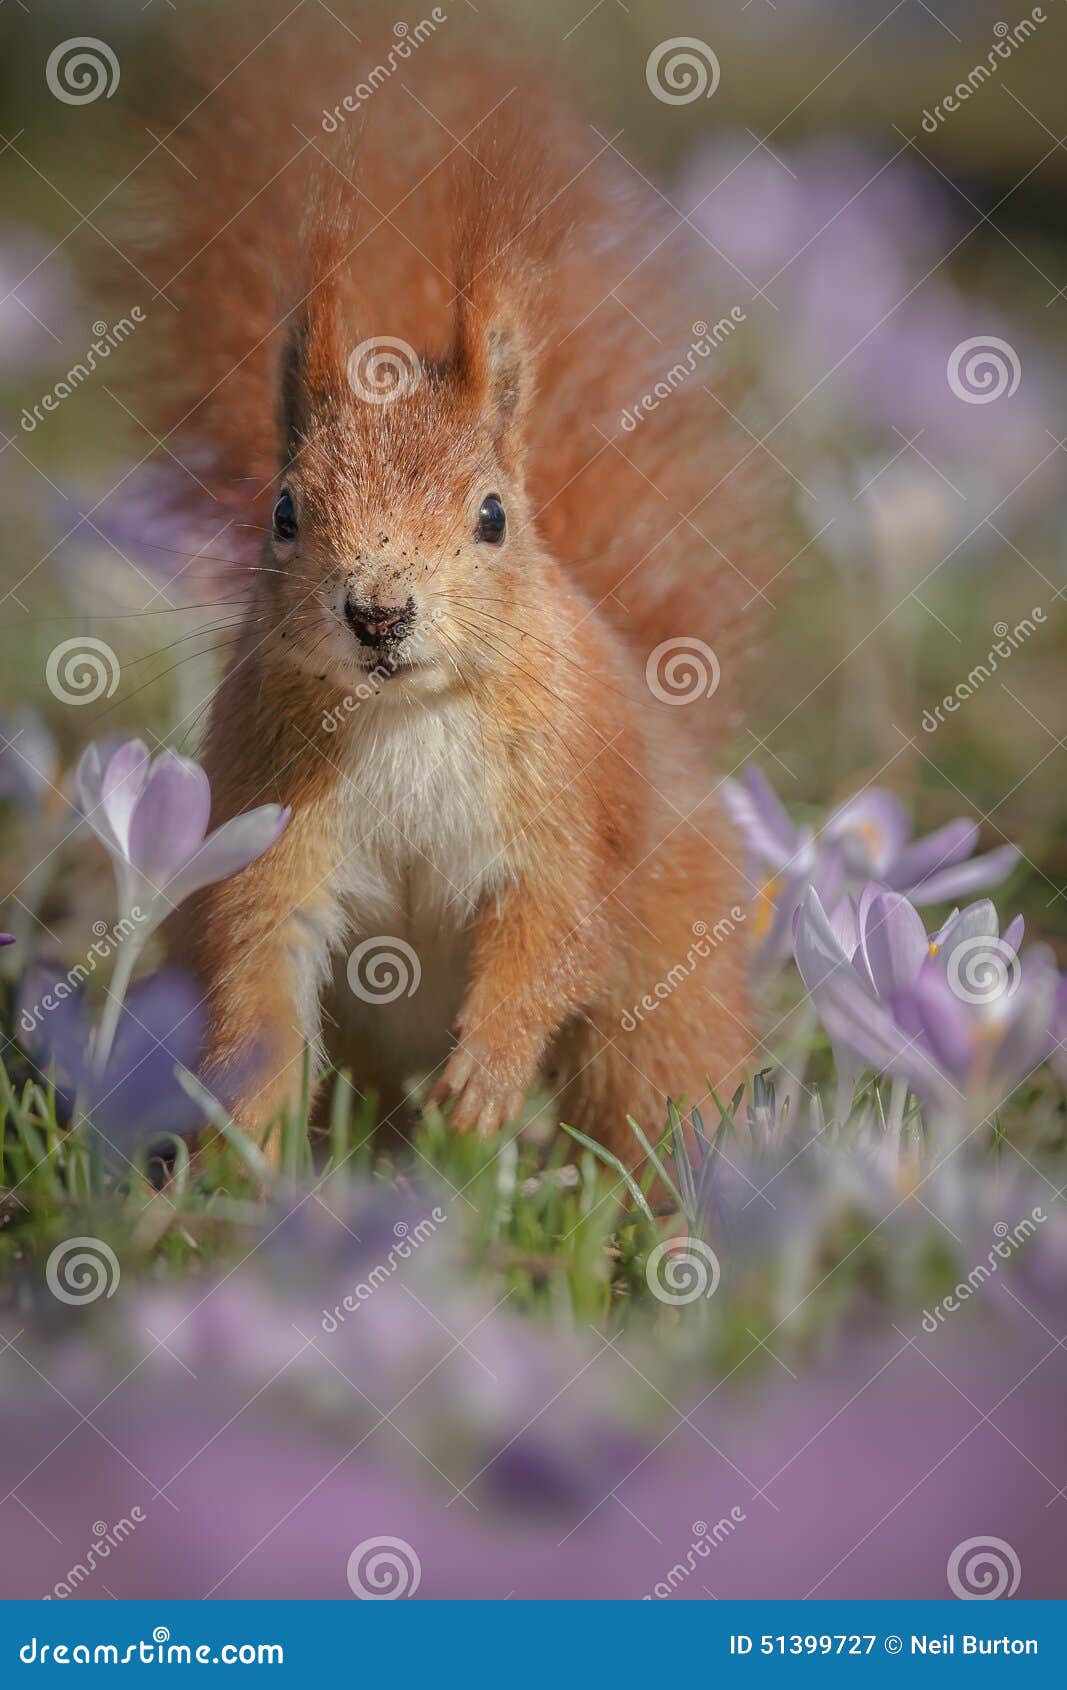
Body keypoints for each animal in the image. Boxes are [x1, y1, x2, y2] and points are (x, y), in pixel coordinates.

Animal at [108, 11, 784, 1164]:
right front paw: (247, 1130)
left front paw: (484, 1079)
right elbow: (258, 956)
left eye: (493, 516)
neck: (407, 716)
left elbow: (552, 932)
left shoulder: (567, 814)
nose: (378, 612)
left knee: (661, 1086)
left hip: (670, 986)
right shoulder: (270, 817)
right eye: (283, 511)